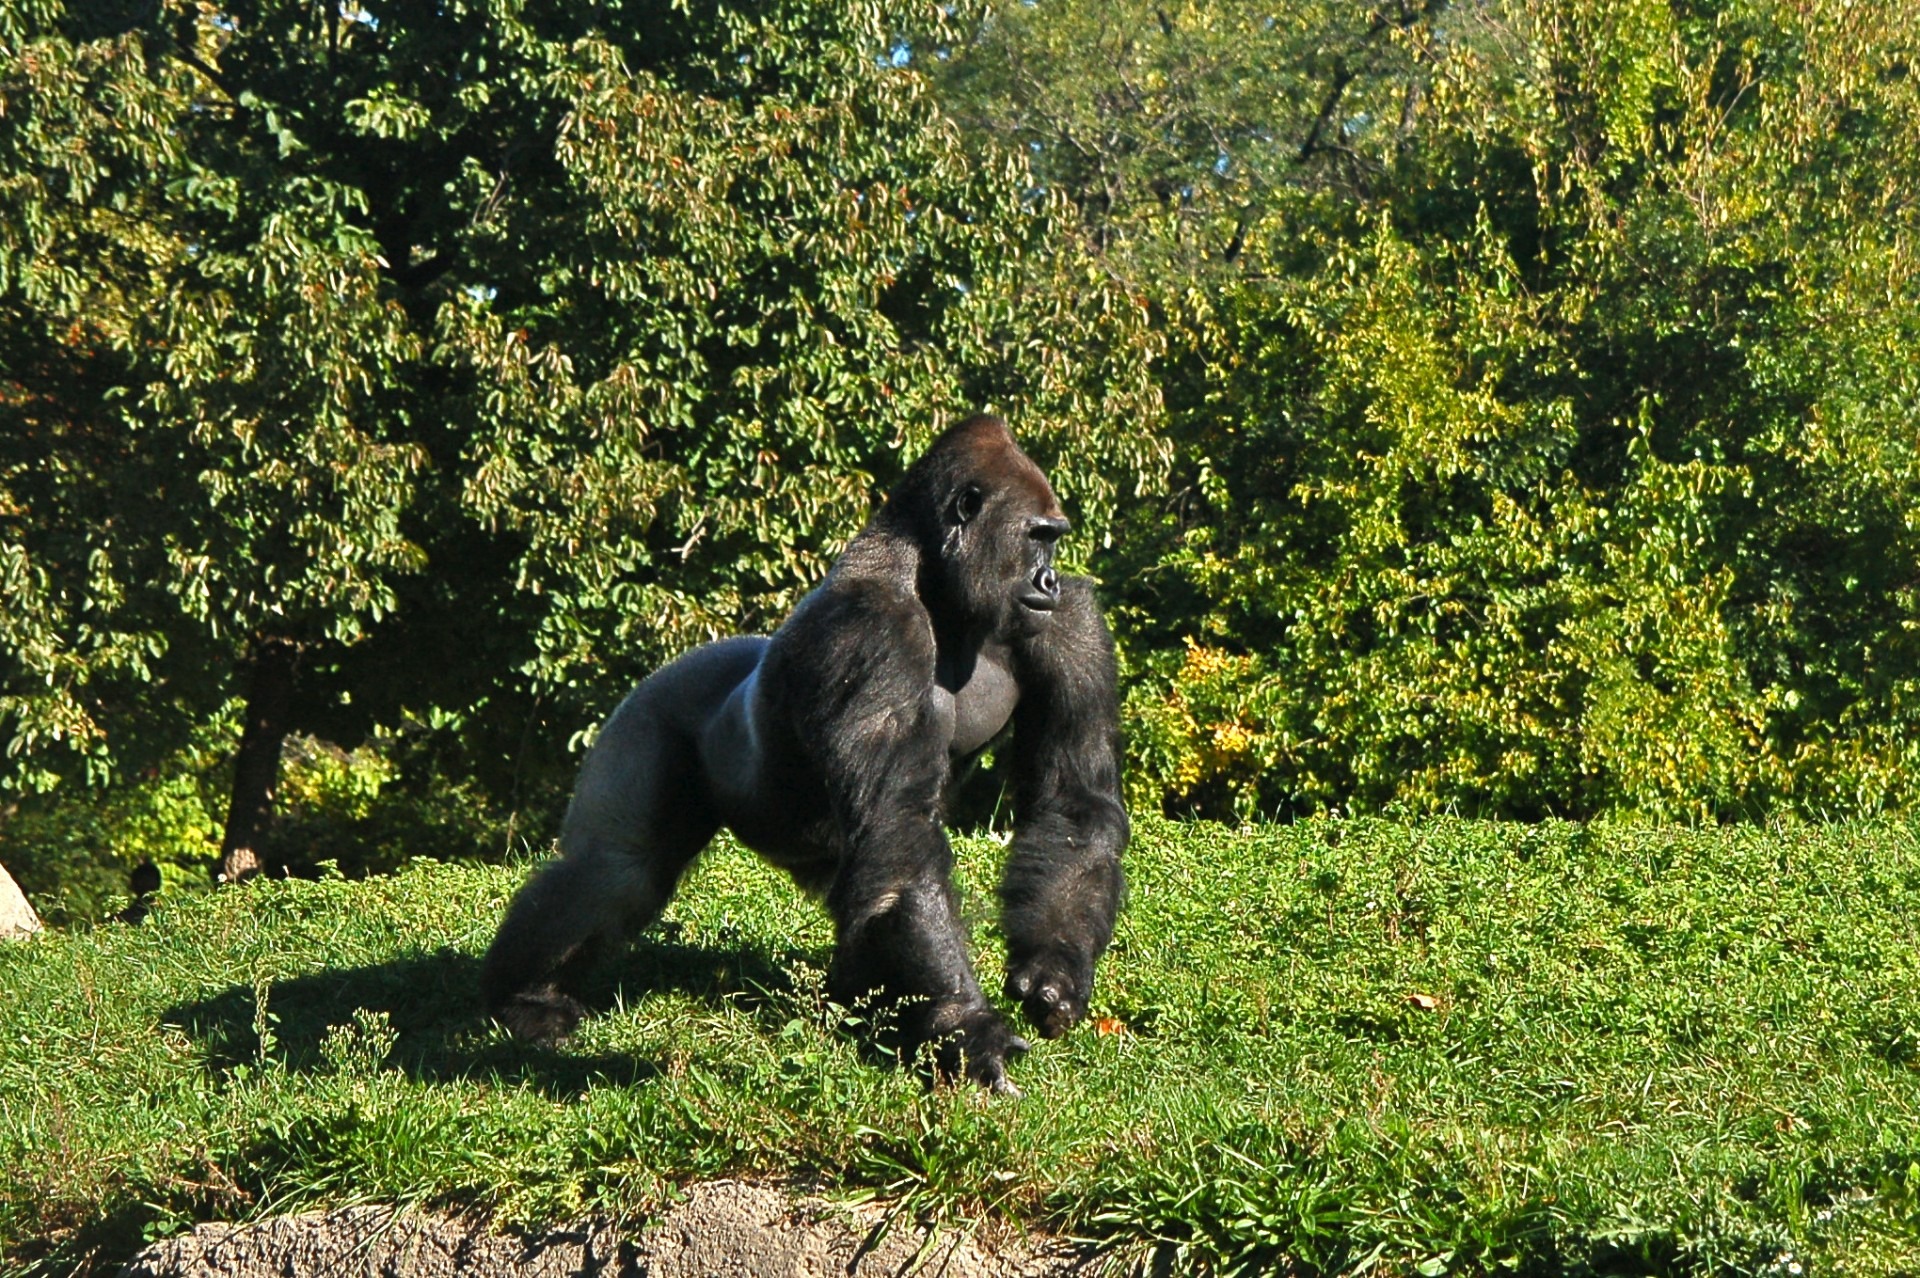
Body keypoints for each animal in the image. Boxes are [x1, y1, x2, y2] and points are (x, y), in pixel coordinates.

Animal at [480, 412, 1128, 1089]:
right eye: (1036, 537)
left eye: (1053, 541)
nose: (1049, 579)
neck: (932, 579)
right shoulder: (871, 629)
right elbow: (900, 835)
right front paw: (967, 1025)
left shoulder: (1069, 622)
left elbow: (1072, 800)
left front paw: (1053, 971)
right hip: (657, 704)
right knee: (618, 869)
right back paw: (524, 997)